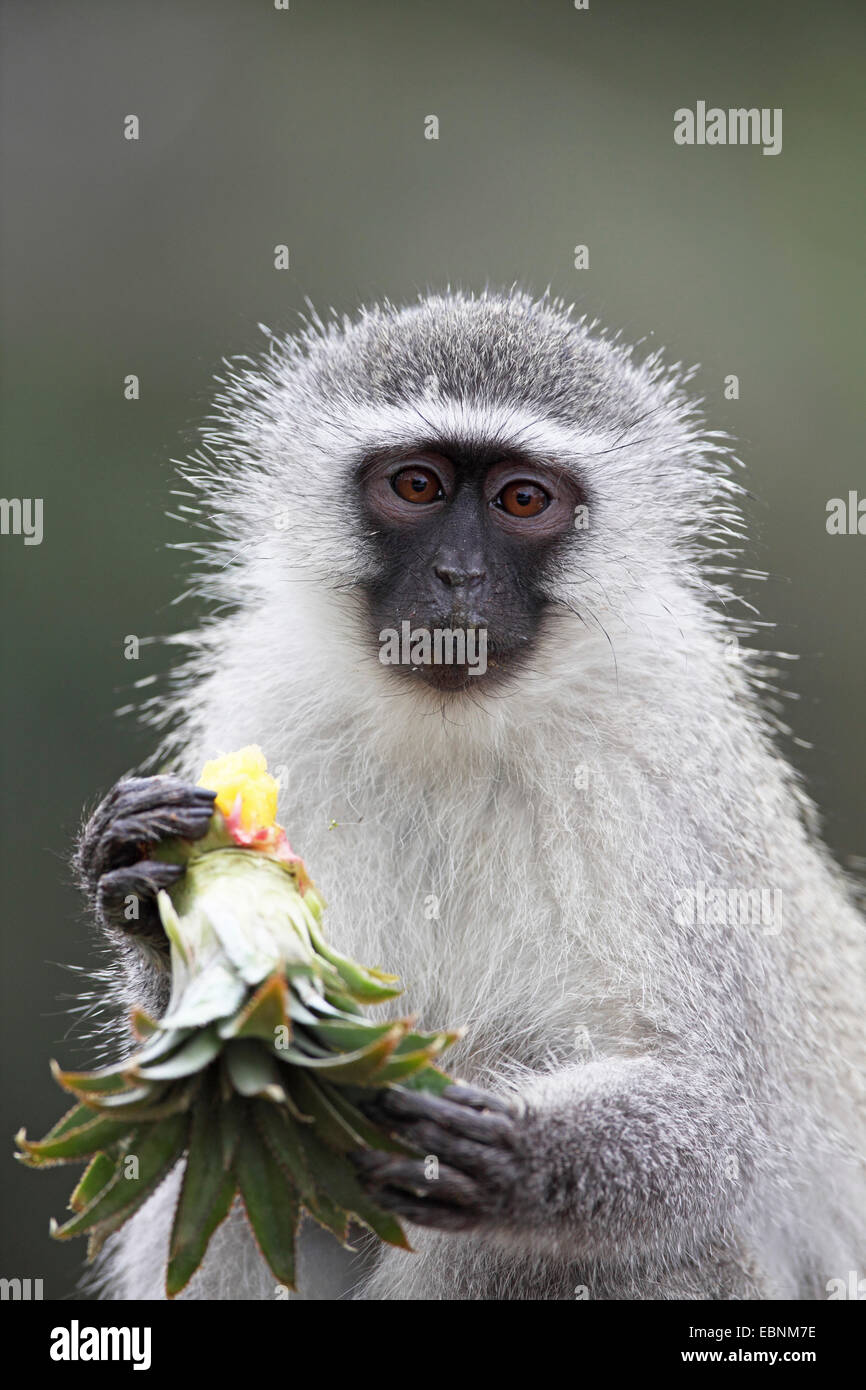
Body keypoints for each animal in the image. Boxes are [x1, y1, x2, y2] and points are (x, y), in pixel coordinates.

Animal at [75, 289, 866, 1301]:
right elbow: (200, 1079)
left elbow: (720, 1120)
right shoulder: (263, 706)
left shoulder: (662, 756)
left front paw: (523, 1157)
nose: (459, 576)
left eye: (522, 499)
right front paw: (145, 889)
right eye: (416, 486)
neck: (456, 727)